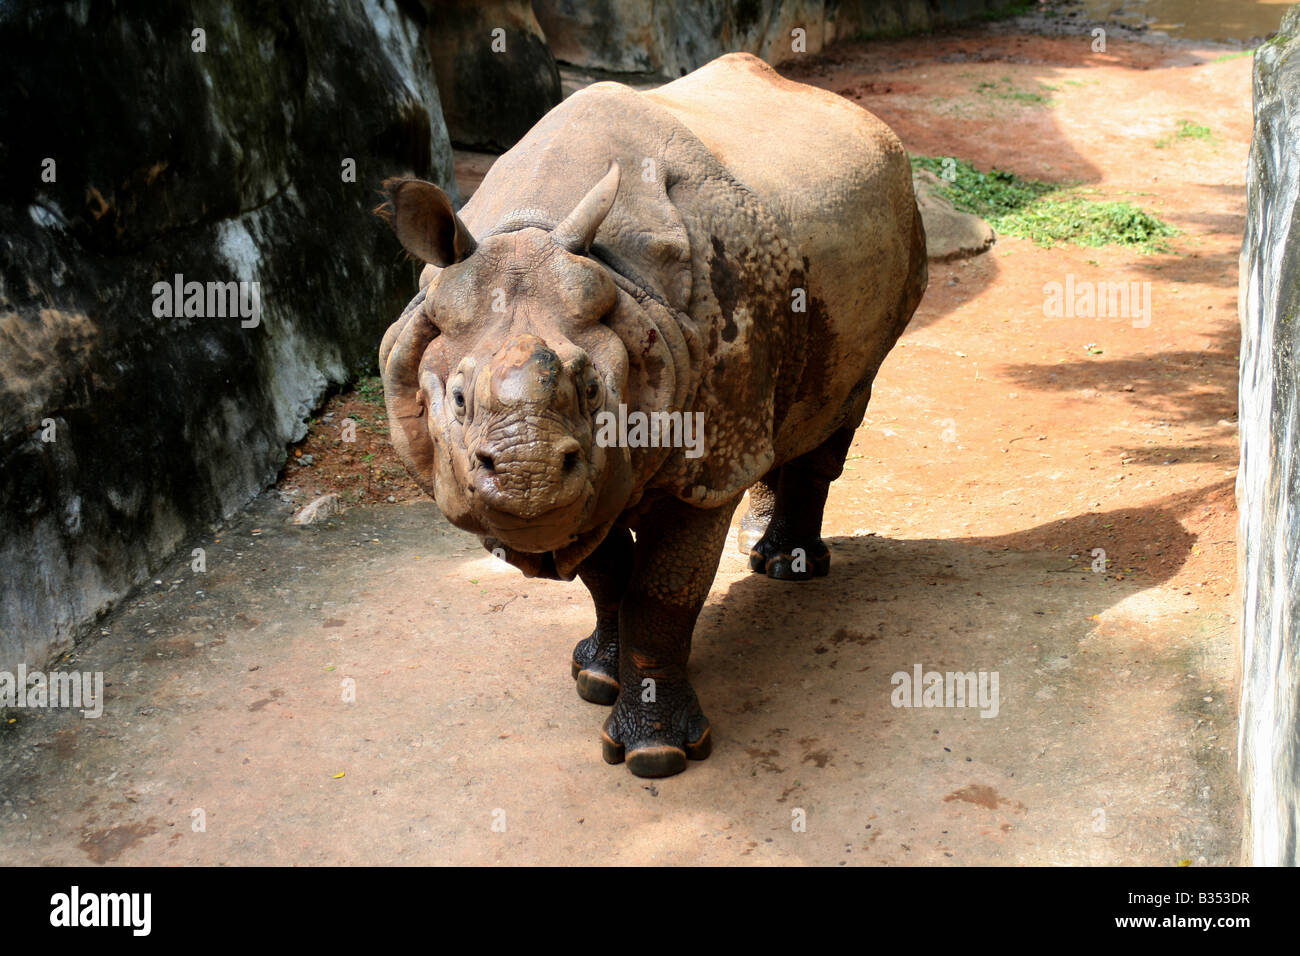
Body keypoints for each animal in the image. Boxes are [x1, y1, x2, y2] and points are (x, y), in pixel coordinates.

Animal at [378, 52, 927, 777]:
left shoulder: (707, 457)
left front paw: (657, 755)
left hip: (898, 231)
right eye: (459, 399)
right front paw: (593, 678)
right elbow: (607, 573)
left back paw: (789, 568)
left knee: (843, 403)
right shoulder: (594, 483)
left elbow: (663, 590)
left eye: (591, 387)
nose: (528, 478)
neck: (535, 223)